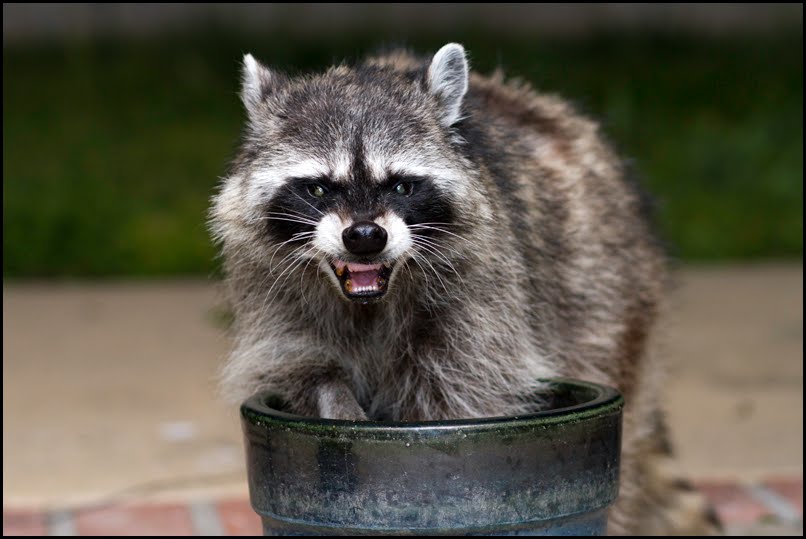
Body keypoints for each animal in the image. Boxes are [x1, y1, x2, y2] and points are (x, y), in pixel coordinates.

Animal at [210, 43, 720, 535]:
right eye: (317, 189)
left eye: (402, 186)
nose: (365, 236)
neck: (372, 300)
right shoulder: (269, 288)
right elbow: (296, 363)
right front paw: (336, 406)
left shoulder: (483, 293)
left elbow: (462, 397)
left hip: (605, 289)